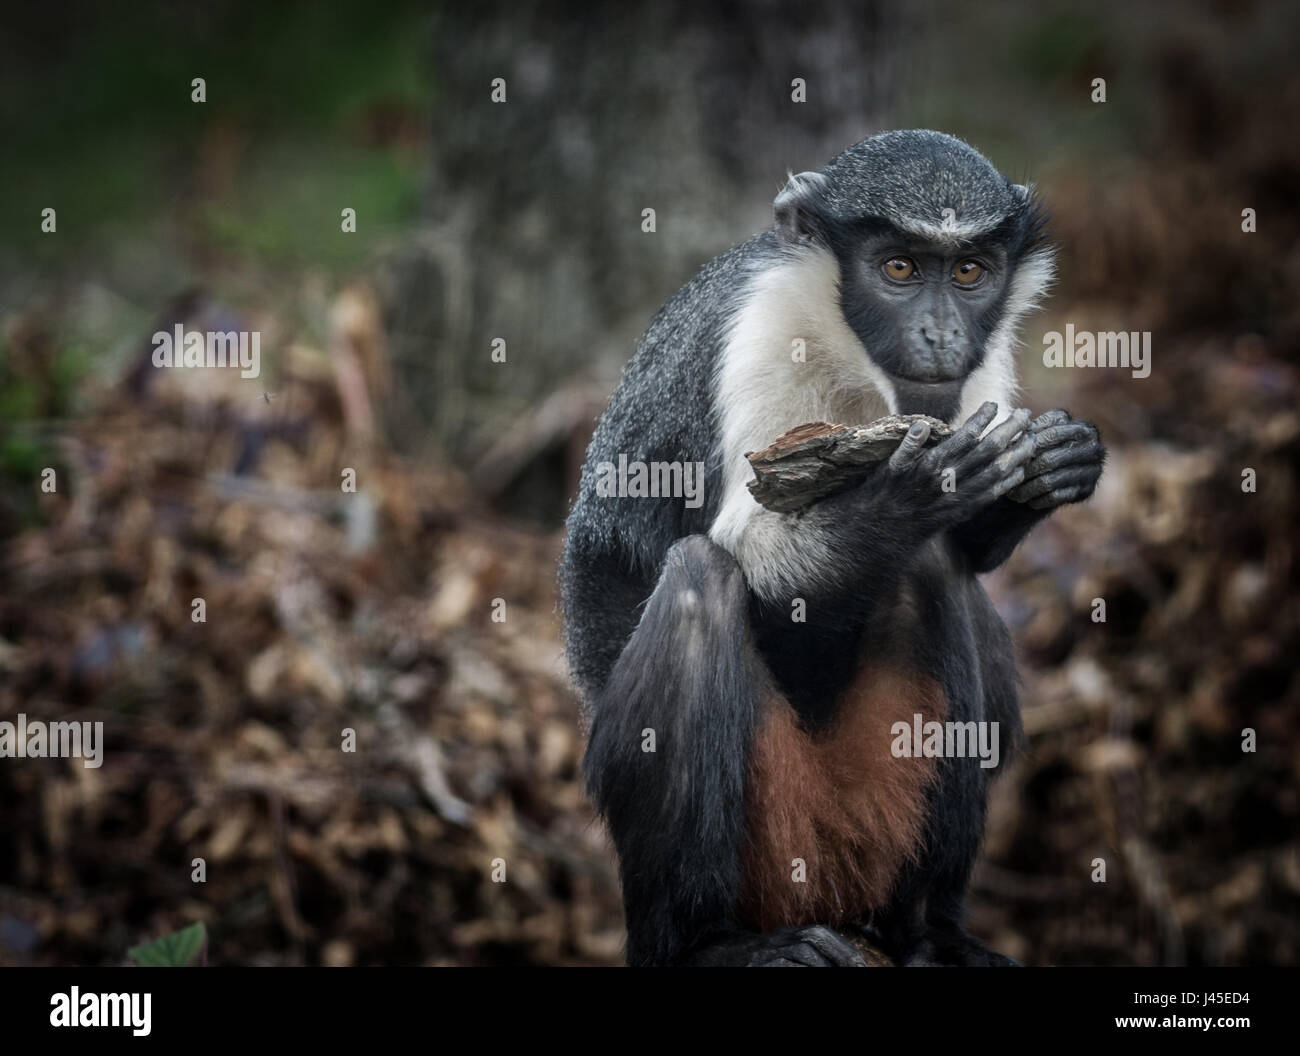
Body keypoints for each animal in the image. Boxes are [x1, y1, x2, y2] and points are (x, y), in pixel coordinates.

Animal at [561, 130, 1104, 966]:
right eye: (900, 268)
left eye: (970, 271)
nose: (943, 334)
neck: (855, 365)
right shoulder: (758, 333)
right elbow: (753, 559)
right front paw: (905, 498)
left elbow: (969, 549)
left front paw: (1050, 466)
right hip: (770, 823)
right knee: (698, 579)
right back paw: (709, 944)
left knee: (935, 572)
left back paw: (929, 930)